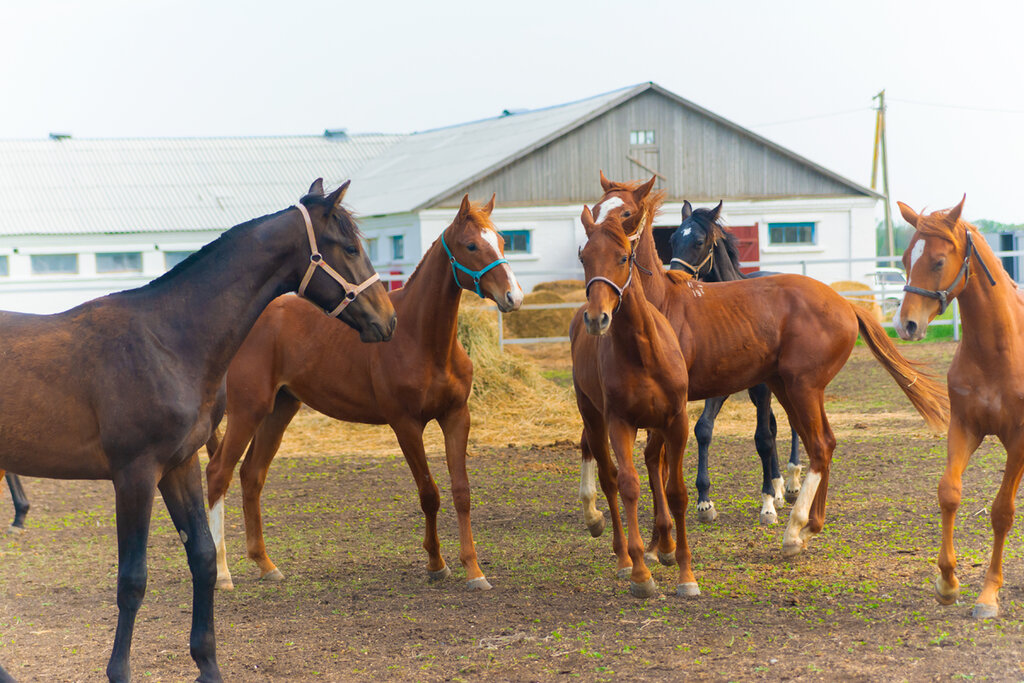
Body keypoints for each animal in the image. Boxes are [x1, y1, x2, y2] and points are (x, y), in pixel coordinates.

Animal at [0, 179, 396, 682]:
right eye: (348, 248)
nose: (388, 320)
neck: (168, 341)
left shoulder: (179, 466)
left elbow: (204, 558)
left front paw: (208, 664)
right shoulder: (135, 476)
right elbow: (132, 579)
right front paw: (119, 671)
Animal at [204, 194, 523, 592]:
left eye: (502, 241)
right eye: (471, 245)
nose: (513, 296)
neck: (423, 339)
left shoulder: (456, 417)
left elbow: (461, 492)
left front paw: (474, 570)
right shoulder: (406, 425)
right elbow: (429, 494)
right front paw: (436, 563)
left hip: (279, 410)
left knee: (252, 475)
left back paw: (266, 564)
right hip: (248, 410)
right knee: (218, 473)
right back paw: (222, 574)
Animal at [571, 203, 698, 598]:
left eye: (623, 257)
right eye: (583, 257)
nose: (597, 318)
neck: (643, 352)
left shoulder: (676, 421)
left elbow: (676, 490)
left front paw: (686, 574)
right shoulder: (619, 423)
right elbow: (628, 485)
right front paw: (642, 574)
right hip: (594, 419)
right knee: (609, 480)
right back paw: (624, 558)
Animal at [668, 200, 803, 524]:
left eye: (698, 241)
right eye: (672, 239)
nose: (675, 279)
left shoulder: (762, 388)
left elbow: (763, 438)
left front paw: (767, 505)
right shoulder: (720, 384)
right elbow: (703, 429)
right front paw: (705, 501)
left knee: (790, 423)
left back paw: (792, 483)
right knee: (775, 424)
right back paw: (779, 485)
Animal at [894, 197, 1022, 619]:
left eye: (937, 261)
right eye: (905, 258)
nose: (905, 325)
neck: (999, 351)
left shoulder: (1019, 441)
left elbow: (1001, 512)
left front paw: (988, 595)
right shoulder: (965, 428)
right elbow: (949, 492)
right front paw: (947, 583)